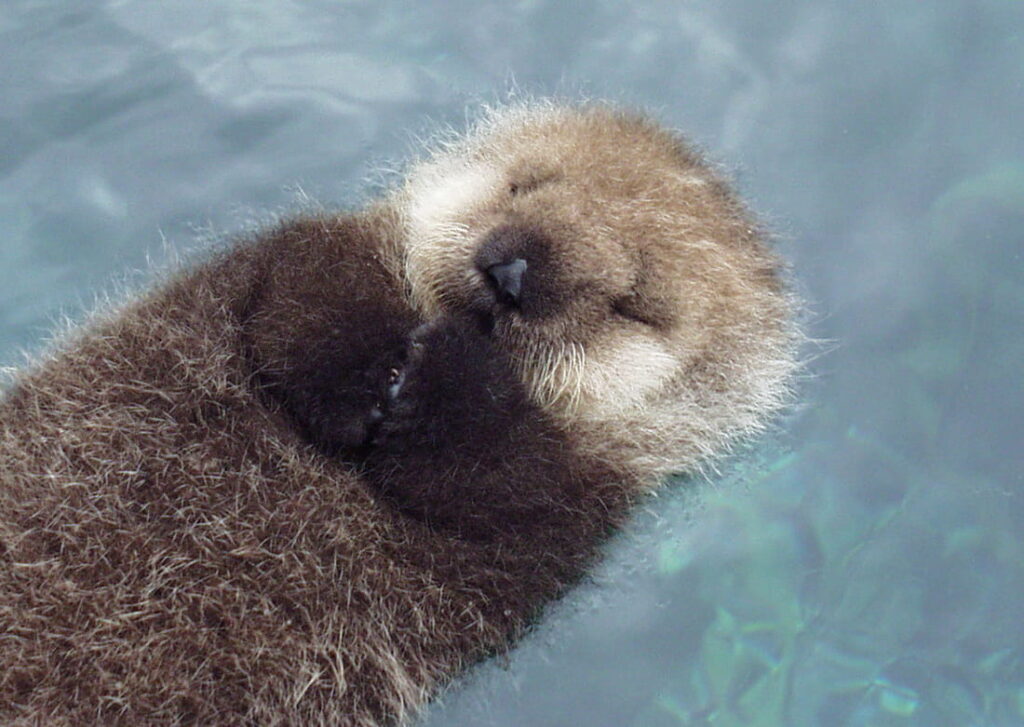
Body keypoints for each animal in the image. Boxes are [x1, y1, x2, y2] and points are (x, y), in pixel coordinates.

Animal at [0, 102, 797, 725]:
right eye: (524, 183)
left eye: (633, 305)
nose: (511, 271)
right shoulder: (310, 251)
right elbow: (302, 292)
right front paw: (362, 390)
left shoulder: (574, 512)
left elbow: (503, 477)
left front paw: (450, 372)